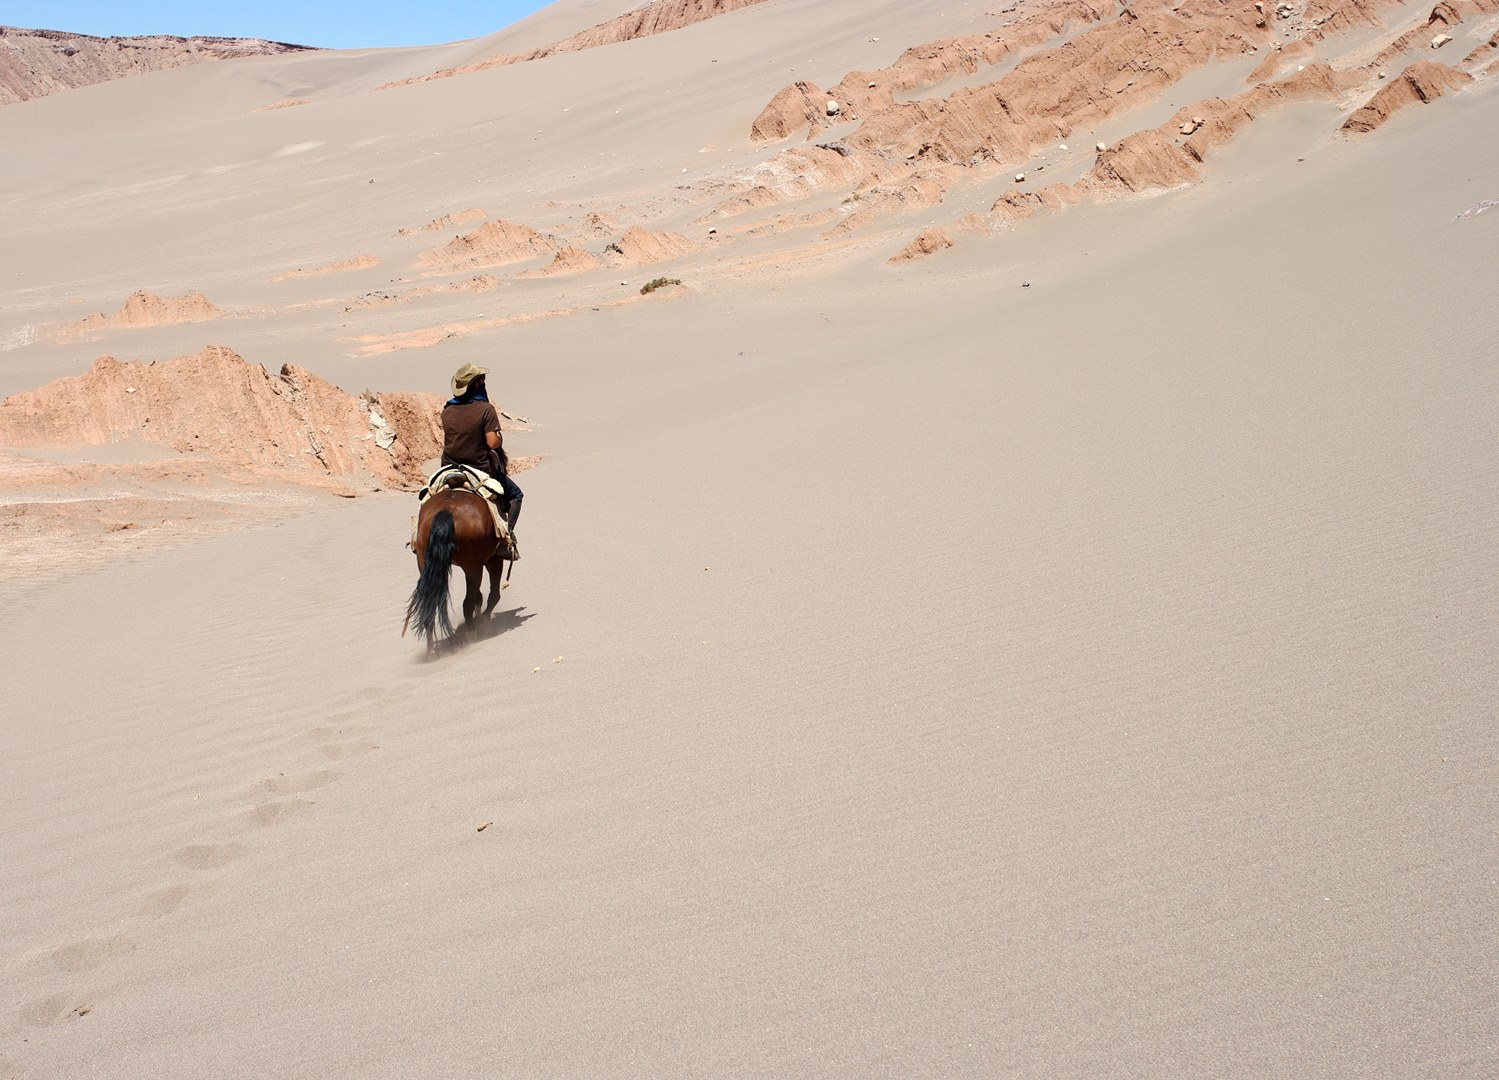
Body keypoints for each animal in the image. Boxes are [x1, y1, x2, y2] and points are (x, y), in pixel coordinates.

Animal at [403, 488, 510, 651]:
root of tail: (447, 510)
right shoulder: (494, 560)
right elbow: (493, 596)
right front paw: (483, 620)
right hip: (473, 567)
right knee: (468, 602)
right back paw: (472, 633)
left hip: (424, 562)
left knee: (430, 603)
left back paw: (430, 649)